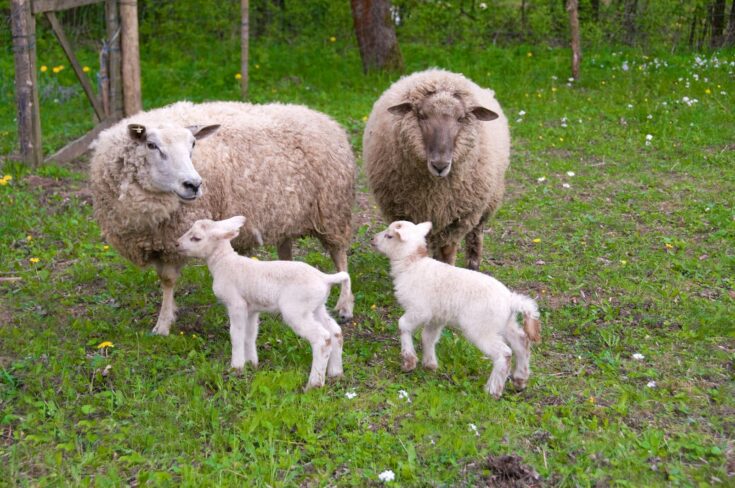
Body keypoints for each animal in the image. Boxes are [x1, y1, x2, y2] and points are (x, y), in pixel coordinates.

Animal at [89, 101, 356, 336]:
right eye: (151, 145)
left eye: (193, 144)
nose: (193, 185)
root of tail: (322, 117)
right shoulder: (156, 238)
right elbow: (164, 280)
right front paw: (168, 315)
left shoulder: (176, 236)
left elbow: (168, 279)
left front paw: (162, 324)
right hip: (286, 213)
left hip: (332, 210)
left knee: (340, 255)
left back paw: (345, 305)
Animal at [176, 216, 347, 389]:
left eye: (196, 238)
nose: (176, 244)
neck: (224, 263)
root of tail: (324, 278)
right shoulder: (251, 308)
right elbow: (250, 334)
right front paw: (252, 363)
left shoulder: (236, 303)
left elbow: (236, 334)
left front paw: (236, 366)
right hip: (316, 307)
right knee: (335, 332)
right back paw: (335, 373)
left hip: (296, 309)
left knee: (322, 339)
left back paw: (314, 384)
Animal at [363, 68, 510, 270]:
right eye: (422, 116)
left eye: (461, 118)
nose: (440, 165)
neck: (435, 192)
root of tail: (440, 71)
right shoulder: (406, 212)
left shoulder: (457, 218)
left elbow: (447, 251)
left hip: (486, 202)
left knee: (475, 234)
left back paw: (473, 265)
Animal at [372, 220, 541, 398]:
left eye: (389, 236)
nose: (372, 239)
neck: (412, 264)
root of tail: (510, 300)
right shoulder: (437, 316)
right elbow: (428, 337)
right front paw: (430, 364)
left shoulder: (419, 309)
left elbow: (403, 324)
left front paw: (409, 361)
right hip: (505, 323)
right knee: (521, 341)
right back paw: (520, 380)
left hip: (480, 327)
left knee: (505, 353)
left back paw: (493, 390)